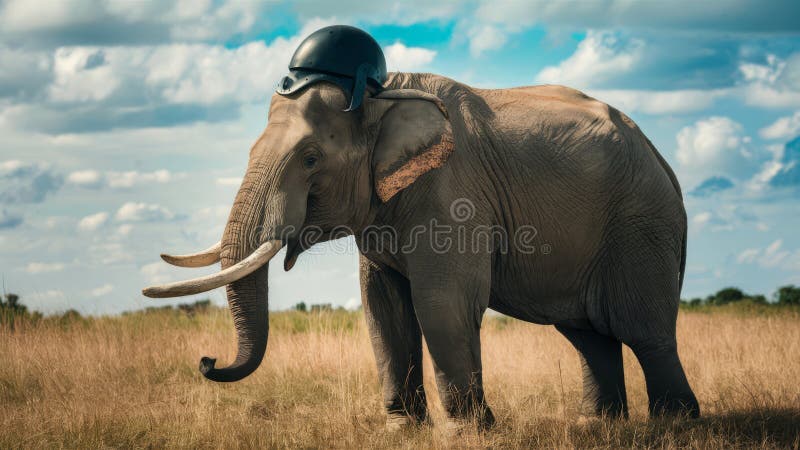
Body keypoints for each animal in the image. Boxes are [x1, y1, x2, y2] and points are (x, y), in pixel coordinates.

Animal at [143, 72, 700, 428]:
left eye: (311, 159)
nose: (207, 361)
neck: (378, 100)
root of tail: (662, 159)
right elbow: (383, 305)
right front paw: (403, 430)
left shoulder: (454, 191)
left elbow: (441, 302)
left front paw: (471, 433)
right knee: (587, 335)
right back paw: (597, 427)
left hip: (640, 225)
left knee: (644, 332)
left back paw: (675, 427)